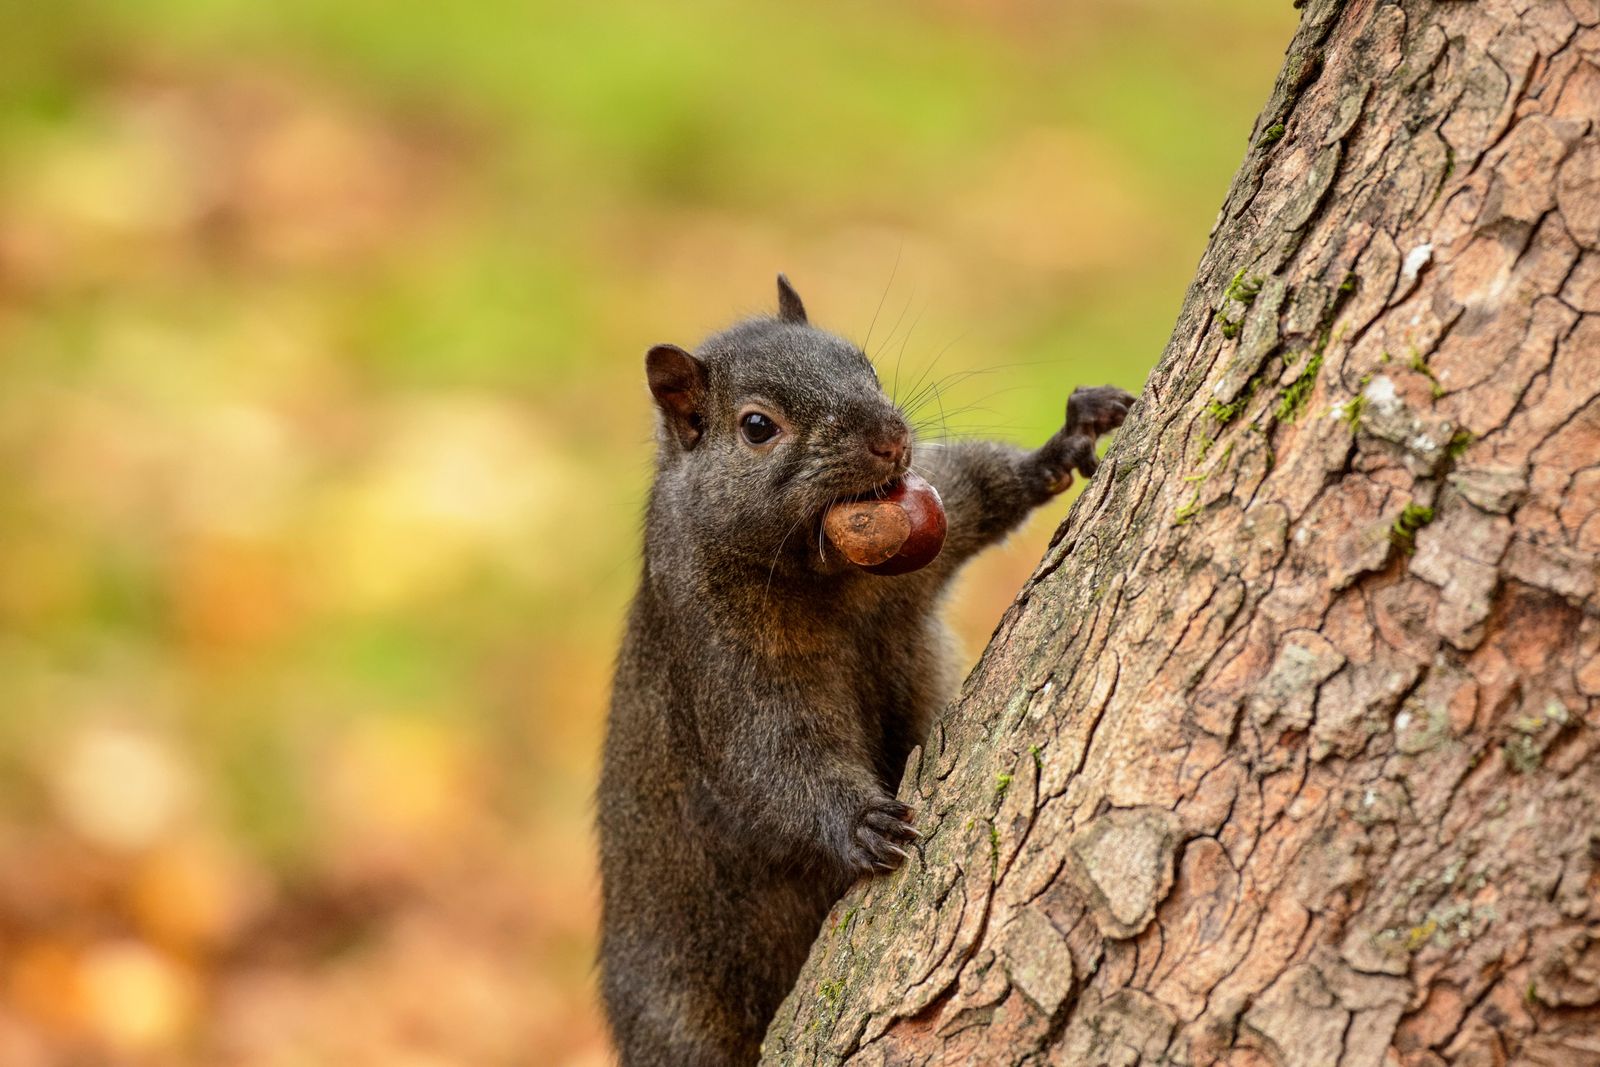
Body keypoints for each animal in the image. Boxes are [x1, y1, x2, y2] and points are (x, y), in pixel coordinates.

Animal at [597, 275, 1133, 1067]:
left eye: (866, 365)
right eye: (756, 426)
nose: (891, 438)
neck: (834, 573)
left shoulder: (935, 517)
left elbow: (982, 488)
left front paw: (1067, 438)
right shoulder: (719, 655)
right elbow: (769, 759)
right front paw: (861, 823)